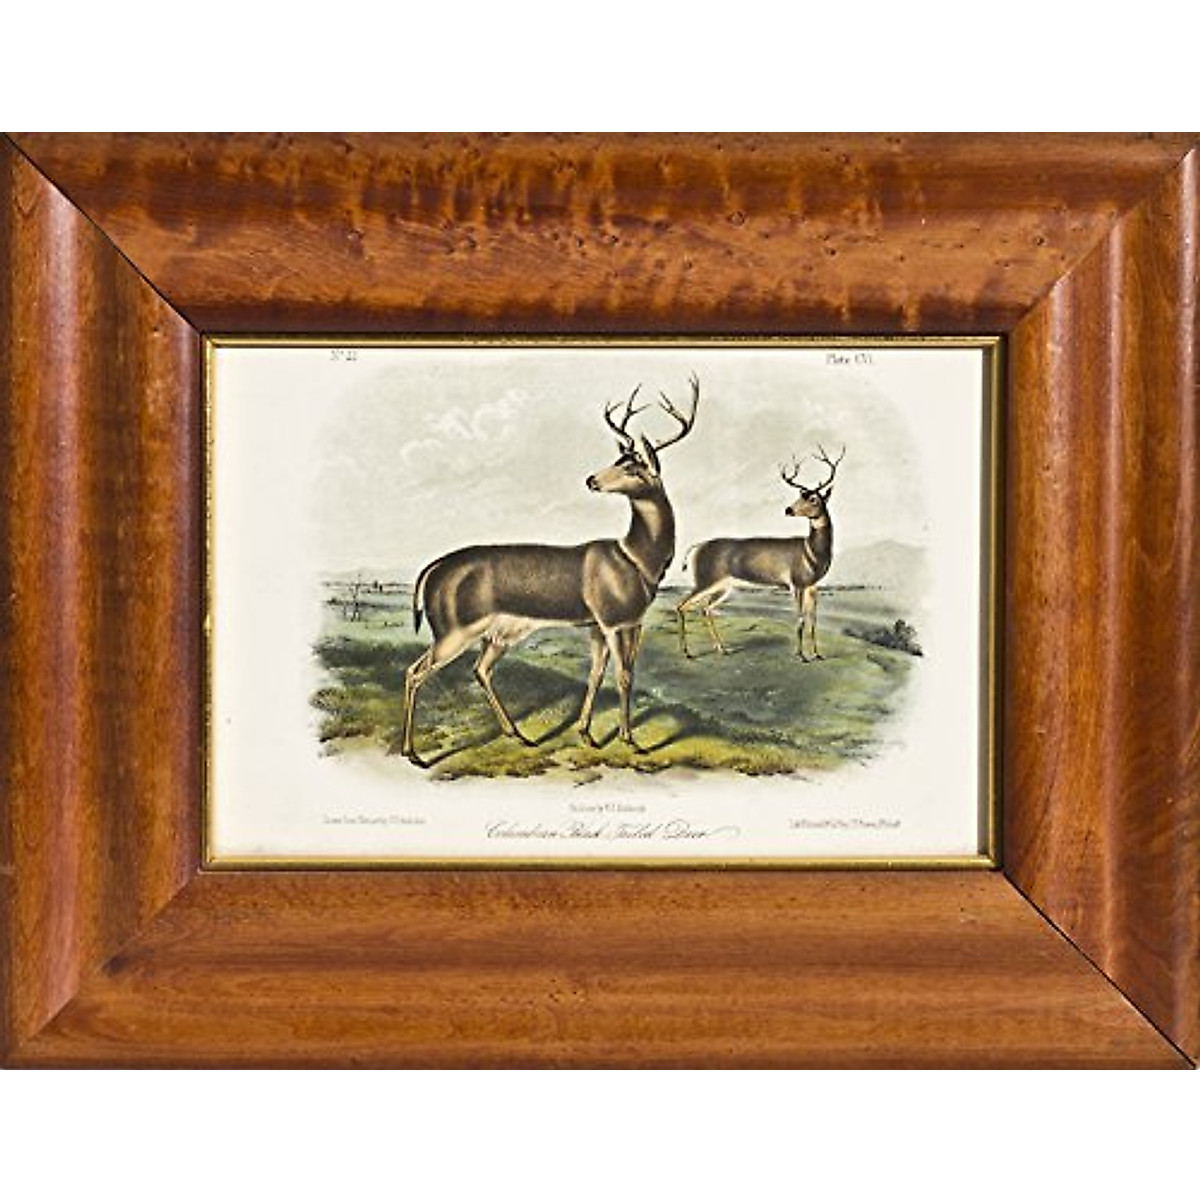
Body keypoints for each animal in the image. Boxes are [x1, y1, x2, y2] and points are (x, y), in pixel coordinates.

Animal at [399, 376, 700, 765]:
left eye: (633, 467)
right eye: (618, 459)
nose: (592, 480)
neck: (637, 560)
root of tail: (430, 570)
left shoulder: (617, 623)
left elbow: (598, 673)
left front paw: (587, 733)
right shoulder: (613, 619)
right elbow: (624, 676)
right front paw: (631, 740)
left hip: (494, 633)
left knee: (480, 669)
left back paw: (519, 735)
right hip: (454, 629)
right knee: (415, 672)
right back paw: (413, 753)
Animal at [676, 444, 844, 662]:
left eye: (814, 499)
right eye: (800, 496)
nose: (788, 509)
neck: (812, 552)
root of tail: (696, 548)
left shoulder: (812, 586)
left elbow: (813, 620)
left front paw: (817, 654)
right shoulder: (796, 584)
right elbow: (800, 620)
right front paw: (801, 655)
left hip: (723, 587)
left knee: (705, 608)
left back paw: (722, 649)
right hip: (705, 581)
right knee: (682, 605)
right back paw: (687, 653)